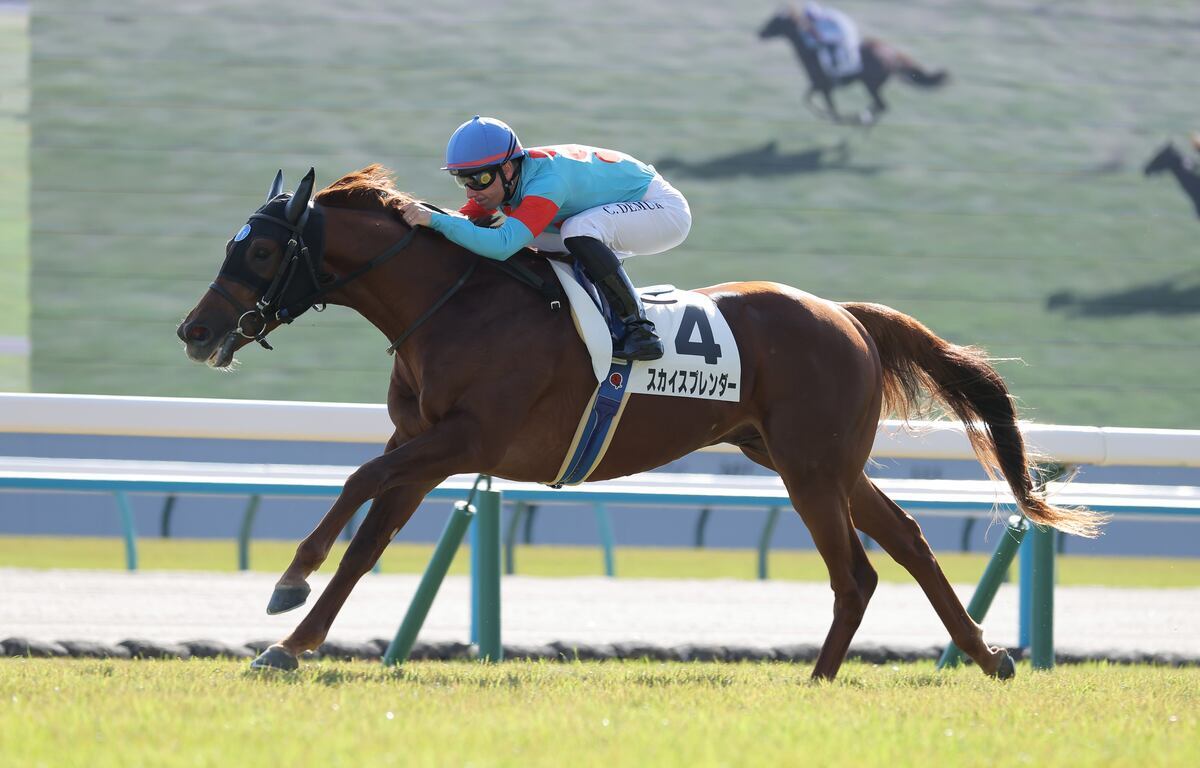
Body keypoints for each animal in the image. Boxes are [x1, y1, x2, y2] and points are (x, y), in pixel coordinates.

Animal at [177, 164, 1104, 679]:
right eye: (229, 245)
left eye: (261, 250)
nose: (195, 331)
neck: (455, 304)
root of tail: (845, 313)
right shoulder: (424, 447)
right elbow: (368, 541)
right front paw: (292, 644)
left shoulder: (464, 439)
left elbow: (355, 480)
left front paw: (287, 581)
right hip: (809, 458)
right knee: (906, 542)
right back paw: (987, 657)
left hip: (811, 467)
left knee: (857, 573)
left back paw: (820, 681)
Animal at [759, 8, 947, 126]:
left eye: (775, 21)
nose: (759, 32)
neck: (811, 48)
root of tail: (893, 53)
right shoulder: (818, 85)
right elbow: (808, 100)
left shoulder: (824, 86)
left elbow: (827, 108)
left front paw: (838, 118)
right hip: (873, 85)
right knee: (879, 105)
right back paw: (863, 116)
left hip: (871, 84)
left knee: (882, 105)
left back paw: (862, 120)